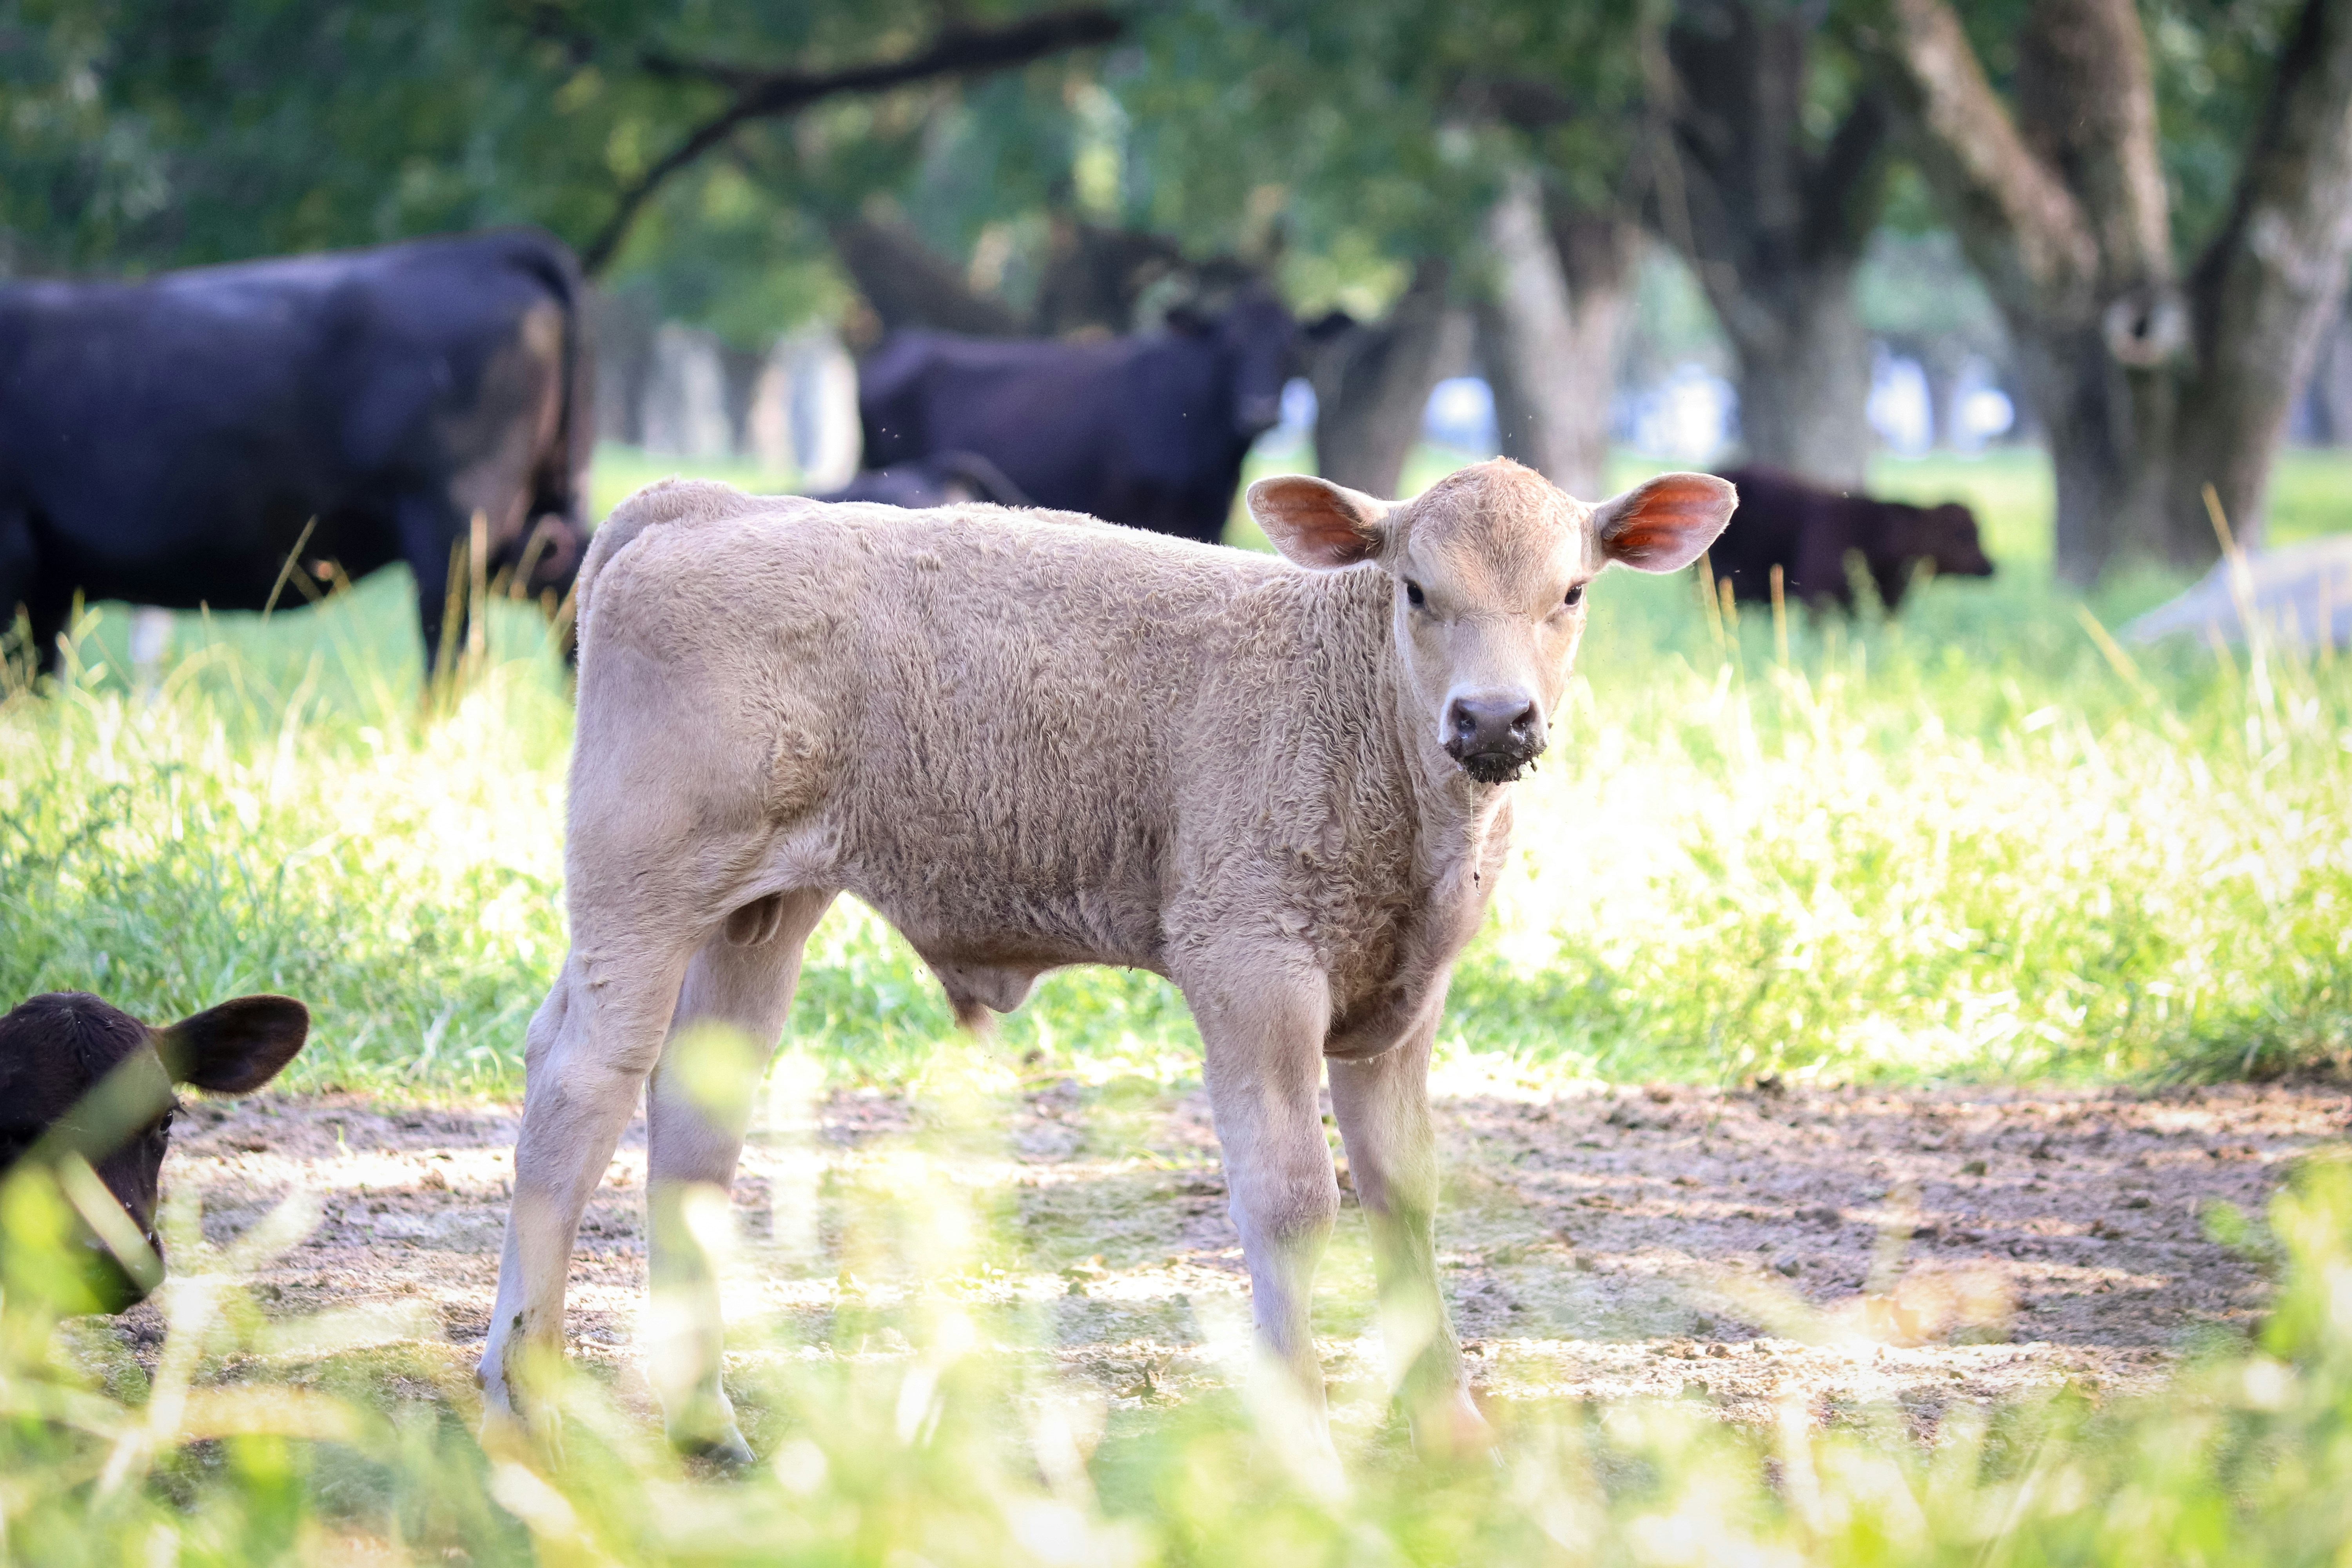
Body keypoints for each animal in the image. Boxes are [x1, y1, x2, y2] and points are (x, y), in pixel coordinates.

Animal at [474, 458, 1736, 1467]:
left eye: (1571, 593)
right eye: (1417, 589)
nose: (1494, 720)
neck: (1352, 706)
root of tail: (707, 505)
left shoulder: (1401, 1009)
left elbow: (1404, 1193)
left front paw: (1452, 1432)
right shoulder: (1253, 974)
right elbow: (1291, 1198)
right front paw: (1303, 1439)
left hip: (759, 916)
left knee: (696, 1124)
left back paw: (705, 1426)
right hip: (641, 903)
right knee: (579, 1088)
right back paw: (523, 1400)